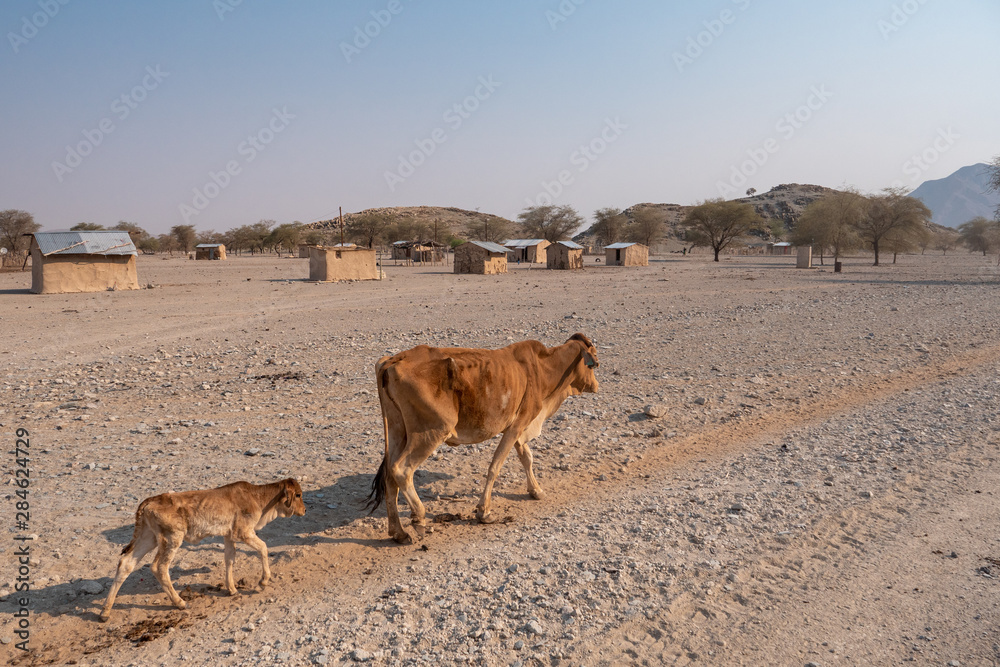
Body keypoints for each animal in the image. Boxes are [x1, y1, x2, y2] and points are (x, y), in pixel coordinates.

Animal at [99, 478, 306, 622]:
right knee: (159, 567)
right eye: (298, 495)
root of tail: (150, 500)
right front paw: (263, 581)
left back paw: (105, 612)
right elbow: (263, 548)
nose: (304, 511)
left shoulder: (229, 536)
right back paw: (180, 603)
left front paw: (232, 589)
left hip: (148, 537)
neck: (258, 498)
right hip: (171, 538)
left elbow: (230, 559)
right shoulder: (243, 532)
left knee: (126, 563)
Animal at [367, 333, 599, 543]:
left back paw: (398, 532)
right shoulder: (516, 427)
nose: (596, 385)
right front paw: (484, 512)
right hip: (431, 432)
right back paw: (419, 519)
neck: (543, 368)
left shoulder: (518, 429)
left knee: (389, 476)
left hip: (397, 430)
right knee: (401, 470)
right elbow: (495, 467)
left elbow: (527, 458)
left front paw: (536, 490)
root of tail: (392, 360)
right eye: (593, 363)